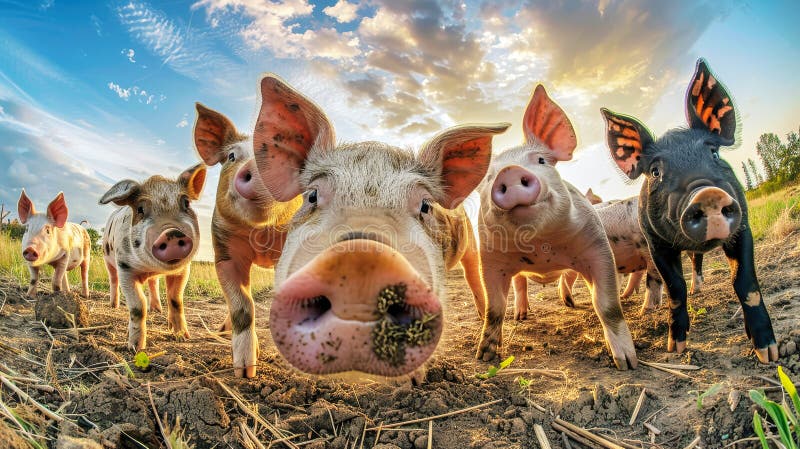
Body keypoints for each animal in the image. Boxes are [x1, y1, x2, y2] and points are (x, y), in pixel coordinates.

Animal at [99, 164, 206, 351]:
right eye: (140, 209)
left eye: (186, 203)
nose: (171, 232)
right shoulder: (125, 268)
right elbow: (137, 307)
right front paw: (135, 348)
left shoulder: (184, 270)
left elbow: (176, 299)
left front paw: (182, 337)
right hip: (108, 260)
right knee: (113, 280)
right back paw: (114, 305)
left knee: (153, 283)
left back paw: (157, 310)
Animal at [192, 103, 302, 378]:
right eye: (232, 156)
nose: (258, 169)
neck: (259, 233)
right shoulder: (224, 252)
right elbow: (242, 306)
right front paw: (245, 373)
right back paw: (223, 330)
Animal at [251, 74, 509, 377]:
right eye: (312, 195)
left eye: (425, 205)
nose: (361, 257)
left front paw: (417, 380)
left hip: (471, 246)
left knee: (474, 275)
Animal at [476, 85, 638, 370]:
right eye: (487, 178)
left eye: (541, 160)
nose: (509, 171)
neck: (540, 246)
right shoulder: (490, 259)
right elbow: (493, 309)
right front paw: (484, 356)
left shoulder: (597, 246)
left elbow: (607, 305)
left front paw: (627, 363)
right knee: (520, 284)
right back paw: (521, 316)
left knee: (565, 279)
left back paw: (569, 304)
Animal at [600, 58, 777, 362]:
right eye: (656, 171)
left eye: (714, 153)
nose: (707, 194)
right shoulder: (656, 244)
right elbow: (675, 290)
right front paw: (675, 348)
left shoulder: (743, 228)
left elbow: (745, 283)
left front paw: (769, 354)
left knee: (697, 262)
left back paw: (699, 288)